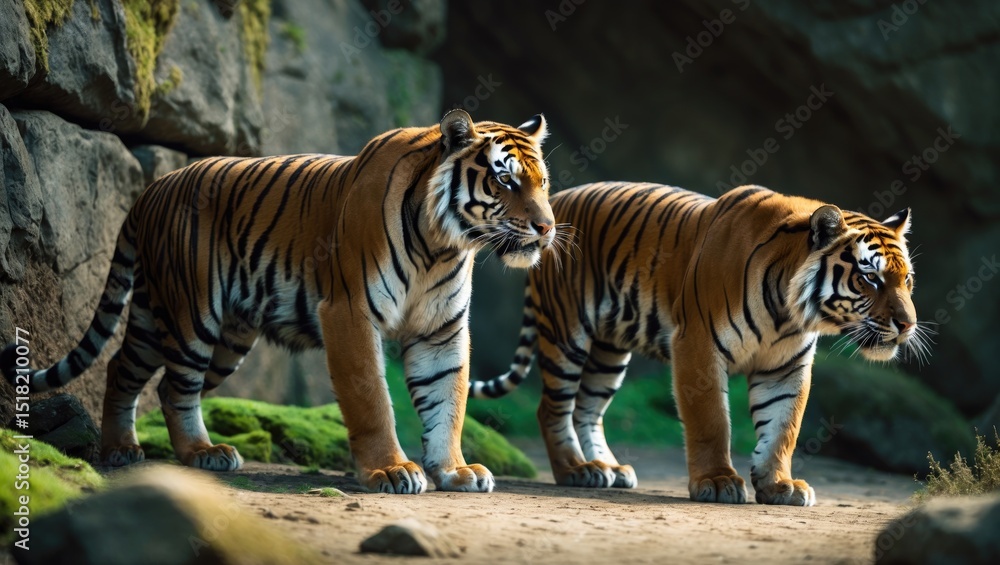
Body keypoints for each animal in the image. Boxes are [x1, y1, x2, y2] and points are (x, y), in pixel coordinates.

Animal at [2, 109, 556, 495]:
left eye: (543, 182)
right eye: (505, 179)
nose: (547, 227)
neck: (443, 245)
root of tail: (154, 187)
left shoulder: (441, 330)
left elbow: (448, 399)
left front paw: (455, 471)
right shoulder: (349, 311)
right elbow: (371, 397)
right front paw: (392, 470)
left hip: (208, 331)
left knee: (126, 367)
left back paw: (124, 448)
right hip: (190, 313)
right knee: (173, 386)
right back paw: (195, 452)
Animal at [470, 182, 927, 506]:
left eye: (907, 279)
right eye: (870, 278)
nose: (907, 324)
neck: (789, 312)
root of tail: (553, 203)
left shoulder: (786, 366)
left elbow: (783, 427)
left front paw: (779, 485)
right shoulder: (697, 345)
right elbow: (712, 420)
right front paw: (718, 482)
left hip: (609, 351)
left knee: (587, 409)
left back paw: (606, 467)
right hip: (567, 334)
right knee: (552, 408)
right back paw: (574, 470)